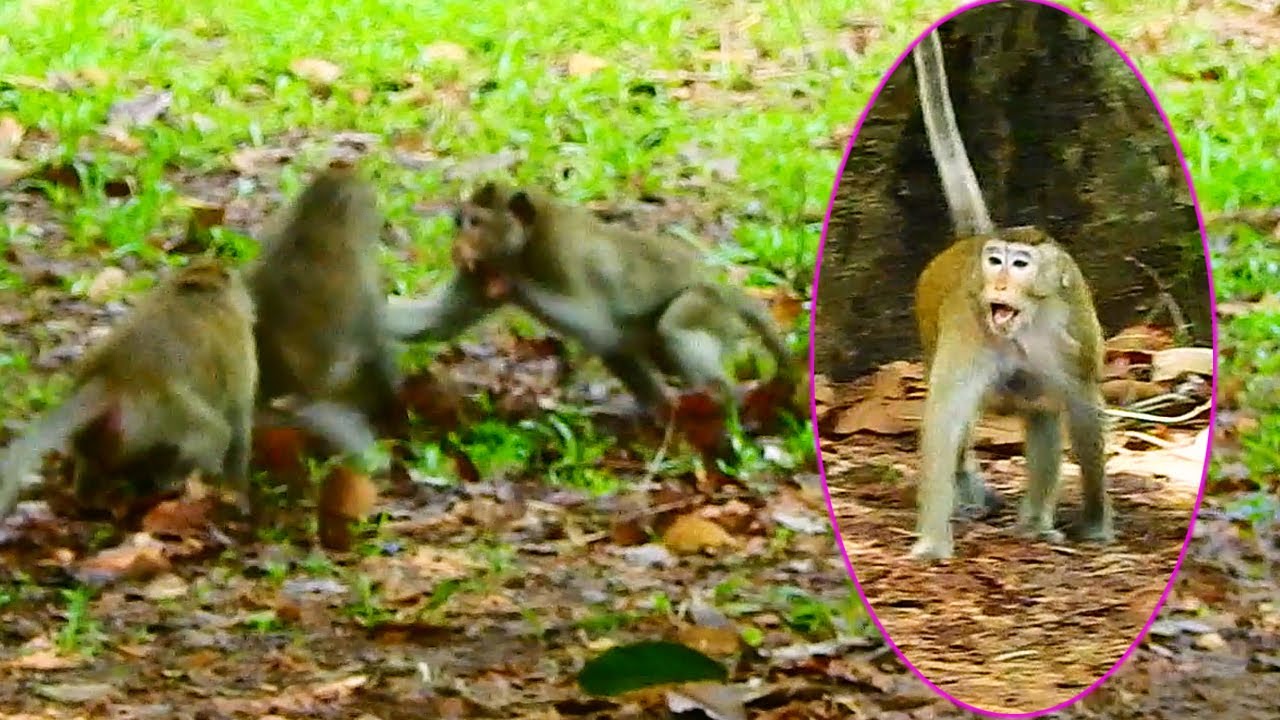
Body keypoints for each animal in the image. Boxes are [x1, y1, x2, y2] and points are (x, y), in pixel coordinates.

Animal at [0, 256, 258, 519]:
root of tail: (111, 375)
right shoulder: (239, 345)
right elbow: (238, 418)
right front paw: (238, 491)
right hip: (165, 414)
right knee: (216, 432)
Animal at [382, 182, 796, 418]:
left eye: (477, 222)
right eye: (461, 221)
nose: (458, 246)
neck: (525, 244)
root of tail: (724, 288)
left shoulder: (558, 255)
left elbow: (596, 323)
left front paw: (512, 284)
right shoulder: (477, 275)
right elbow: (435, 321)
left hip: (708, 305)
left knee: (671, 327)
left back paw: (718, 402)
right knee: (633, 348)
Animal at [907, 29, 1112, 561]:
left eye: (1019, 265)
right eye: (995, 262)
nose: (998, 282)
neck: (1026, 327)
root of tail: (972, 239)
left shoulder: (1074, 332)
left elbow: (1083, 410)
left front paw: (1096, 522)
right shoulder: (967, 327)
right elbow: (945, 417)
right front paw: (933, 541)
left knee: (1042, 412)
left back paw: (1035, 523)